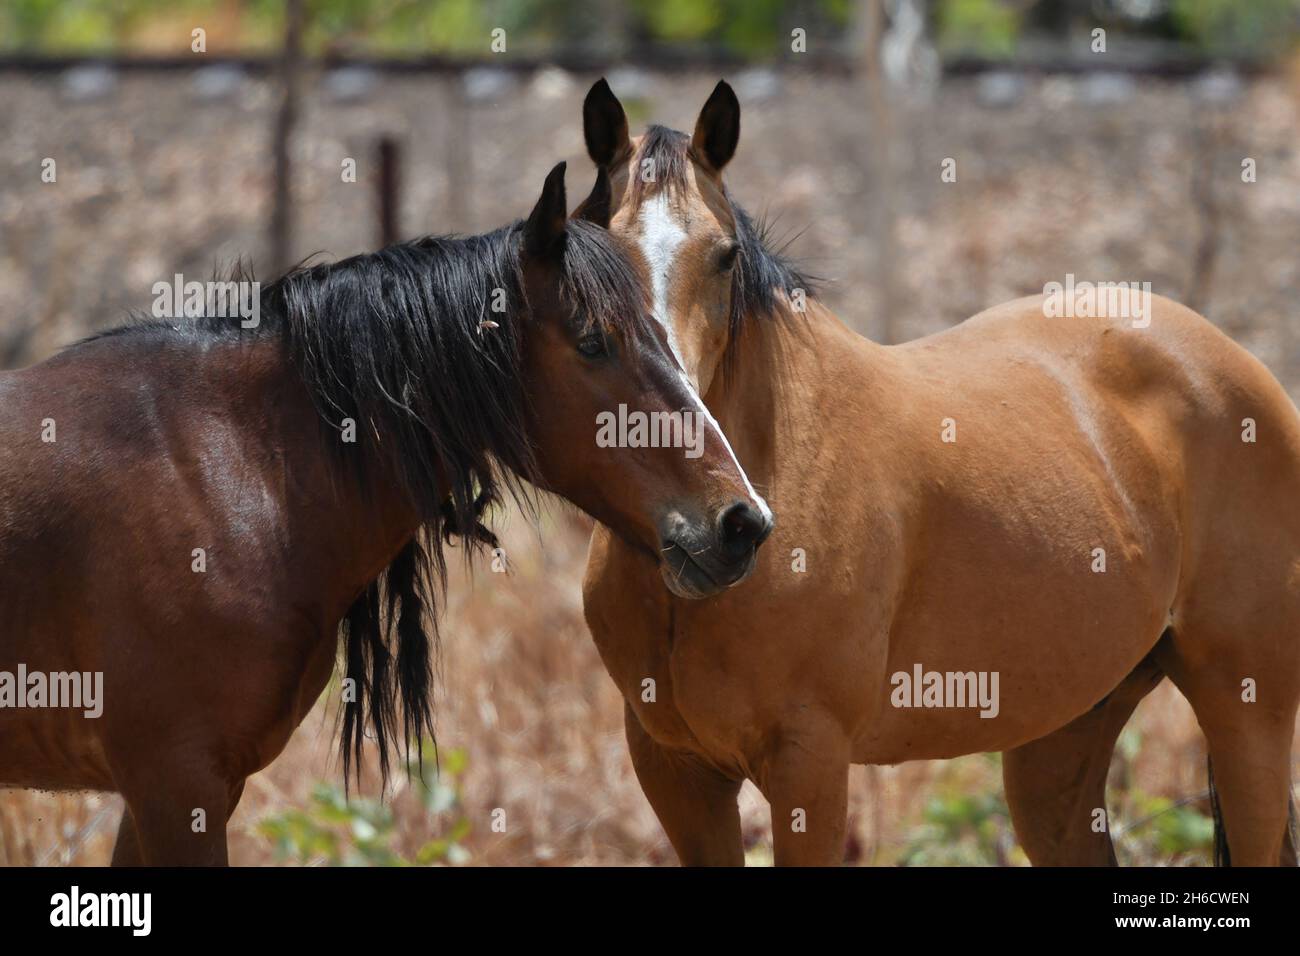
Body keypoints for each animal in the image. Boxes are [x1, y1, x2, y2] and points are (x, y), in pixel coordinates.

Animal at [577, 78, 1300, 866]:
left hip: (1246, 711)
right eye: (592, 256)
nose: (668, 412)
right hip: (1064, 736)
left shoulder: (809, 764)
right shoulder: (676, 770)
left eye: (725, 255)